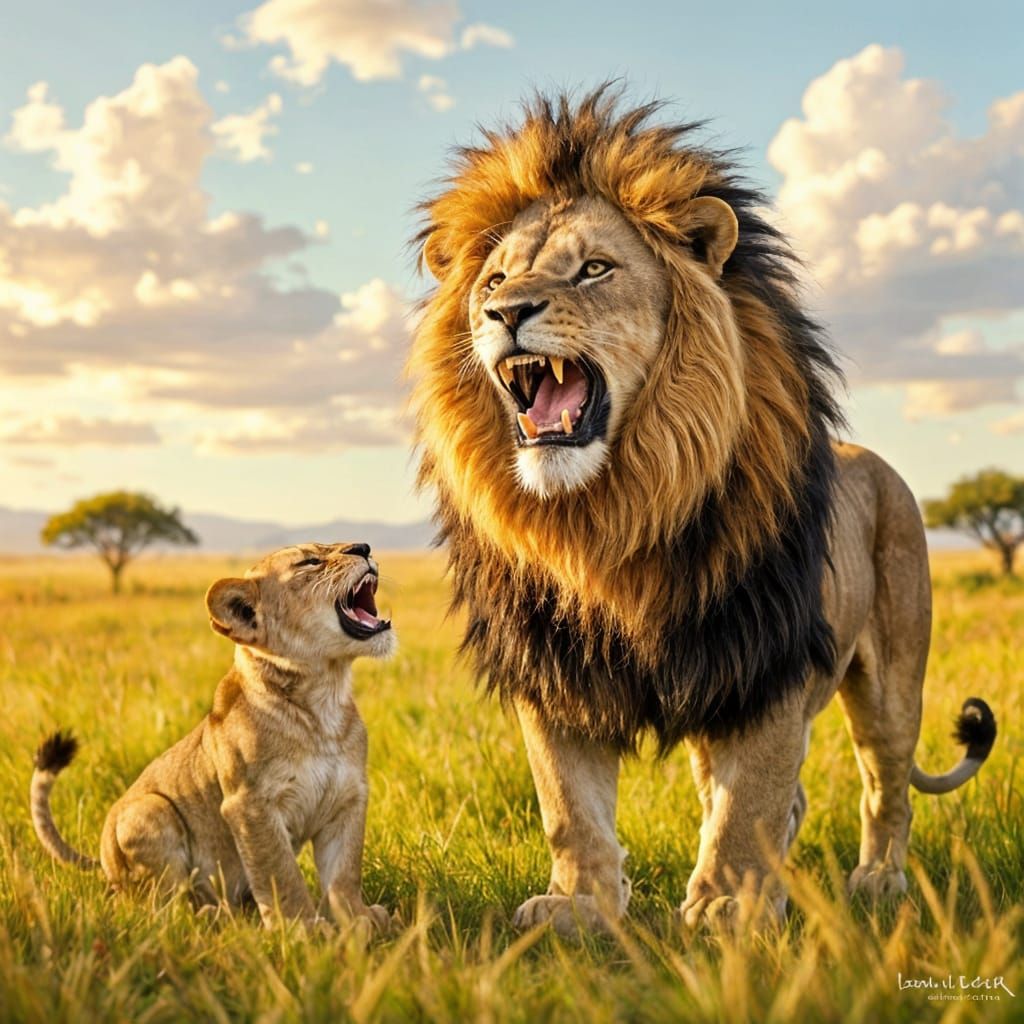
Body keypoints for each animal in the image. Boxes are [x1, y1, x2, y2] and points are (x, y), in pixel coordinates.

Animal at [30, 543, 395, 932]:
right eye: (309, 562)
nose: (364, 547)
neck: (323, 700)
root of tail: (103, 865)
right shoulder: (248, 804)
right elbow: (282, 876)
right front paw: (303, 930)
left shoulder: (349, 796)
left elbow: (344, 872)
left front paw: (360, 920)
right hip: (149, 810)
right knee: (155, 909)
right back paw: (213, 915)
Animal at [408, 89, 998, 934]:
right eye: (493, 280)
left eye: (594, 269)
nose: (506, 311)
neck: (611, 515)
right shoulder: (556, 668)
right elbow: (569, 805)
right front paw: (581, 904)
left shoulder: (766, 655)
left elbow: (749, 798)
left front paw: (731, 906)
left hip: (891, 680)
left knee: (885, 788)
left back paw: (879, 879)